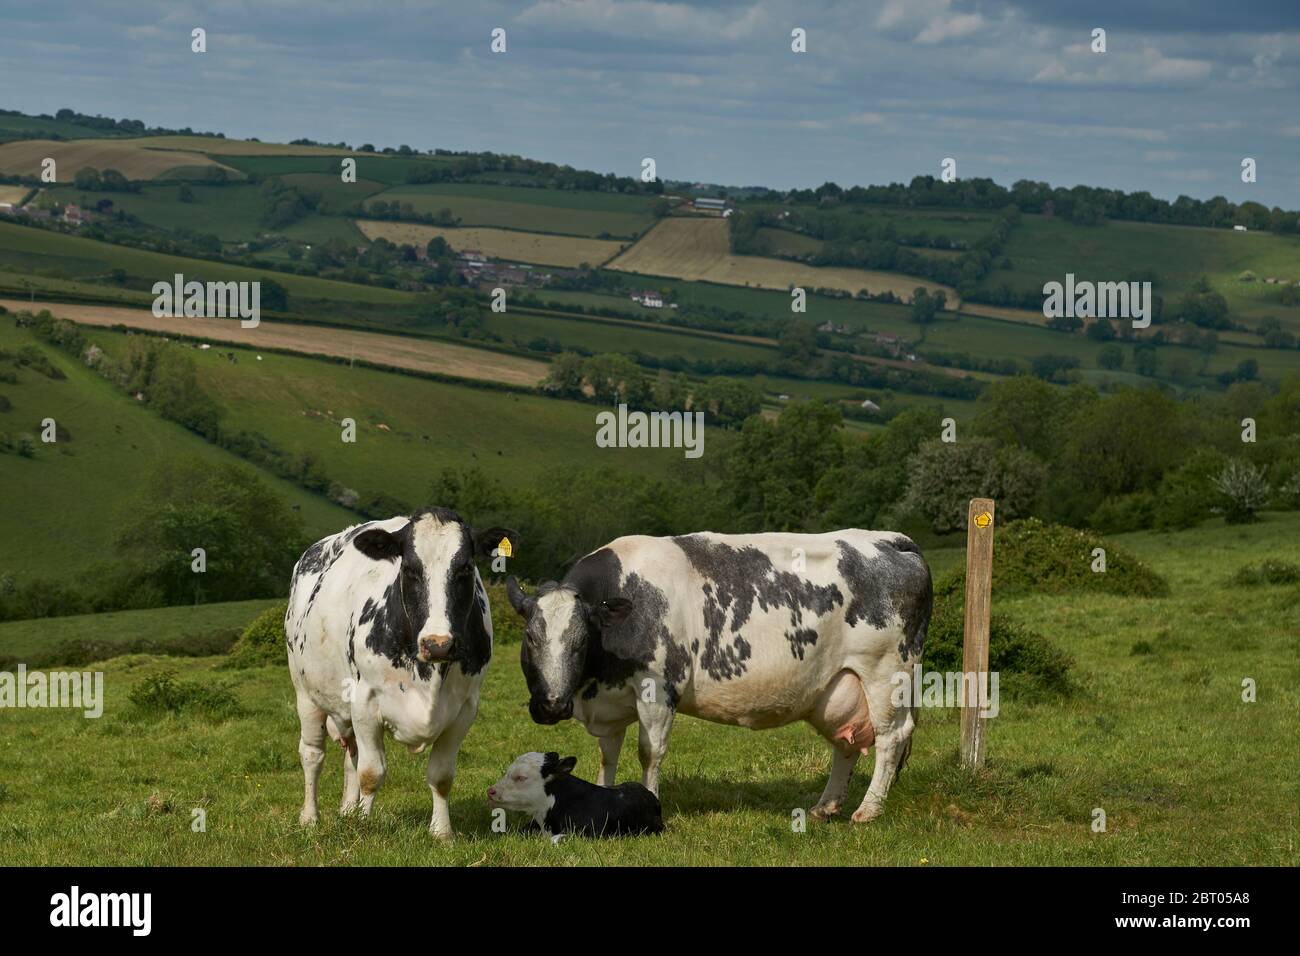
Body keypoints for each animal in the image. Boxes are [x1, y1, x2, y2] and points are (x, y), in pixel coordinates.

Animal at [285, 508, 516, 839]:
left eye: (465, 568)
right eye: (408, 569)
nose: (438, 644)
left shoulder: (465, 708)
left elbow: (441, 776)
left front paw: (442, 832)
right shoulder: (365, 700)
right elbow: (371, 772)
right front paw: (364, 825)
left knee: (350, 755)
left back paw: (346, 810)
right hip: (305, 692)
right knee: (312, 754)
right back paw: (310, 817)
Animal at [505, 530, 931, 823]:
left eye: (580, 641)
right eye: (530, 637)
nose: (552, 705)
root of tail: (893, 541)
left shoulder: (658, 690)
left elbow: (649, 752)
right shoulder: (610, 702)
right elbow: (606, 755)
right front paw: (601, 799)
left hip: (885, 673)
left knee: (891, 738)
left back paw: (868, 810)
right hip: (837, 687)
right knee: (847, 743)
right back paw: (824, 807)